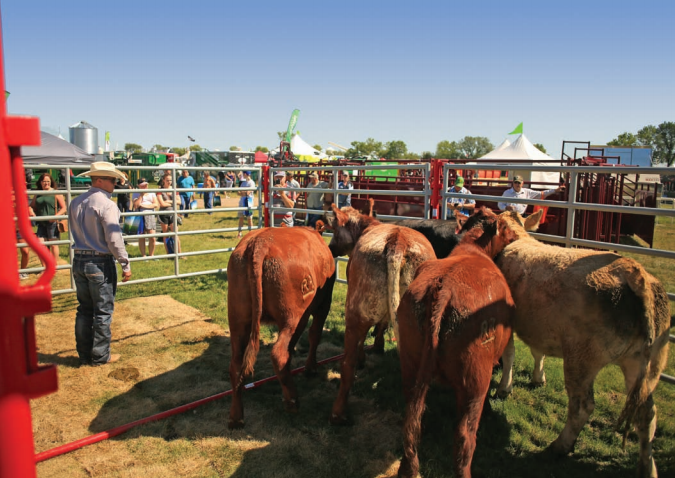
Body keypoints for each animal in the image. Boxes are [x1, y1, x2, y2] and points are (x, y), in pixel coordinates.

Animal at [227, 226, 336, 429]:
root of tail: (259, 243)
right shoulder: (324, 303)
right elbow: (315, 335)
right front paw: (310, 368)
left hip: (237, 319)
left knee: (236, 364)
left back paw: (236, 417)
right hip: (292, 318)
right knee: (279, 353)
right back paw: (292, 401)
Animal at [325, 203, 436, 424]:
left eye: (334, 229)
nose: (330, 248)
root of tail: (397, 242)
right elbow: (382, 325)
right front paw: (378, 345)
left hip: (355, 312)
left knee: (347, 363)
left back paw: (338, 413)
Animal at [396, 207, 514, 478]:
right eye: (505, 226)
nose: (515, 236)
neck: (472, 249)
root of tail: (443, 289)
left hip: (410, 362)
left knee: (411, 417)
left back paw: (408, 466)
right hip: (475, 380)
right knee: (464, 437)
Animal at [495, 210, 671, 478]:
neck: (518, 238)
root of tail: (634, 272)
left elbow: (510, 354)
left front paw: (505, 387)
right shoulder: (539, 326)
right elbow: (538, 352)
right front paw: (538, 377)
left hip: (582, 357)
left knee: (582, 406)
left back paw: (559, 446)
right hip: (648, 363)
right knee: (647, 414)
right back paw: (647, 467)